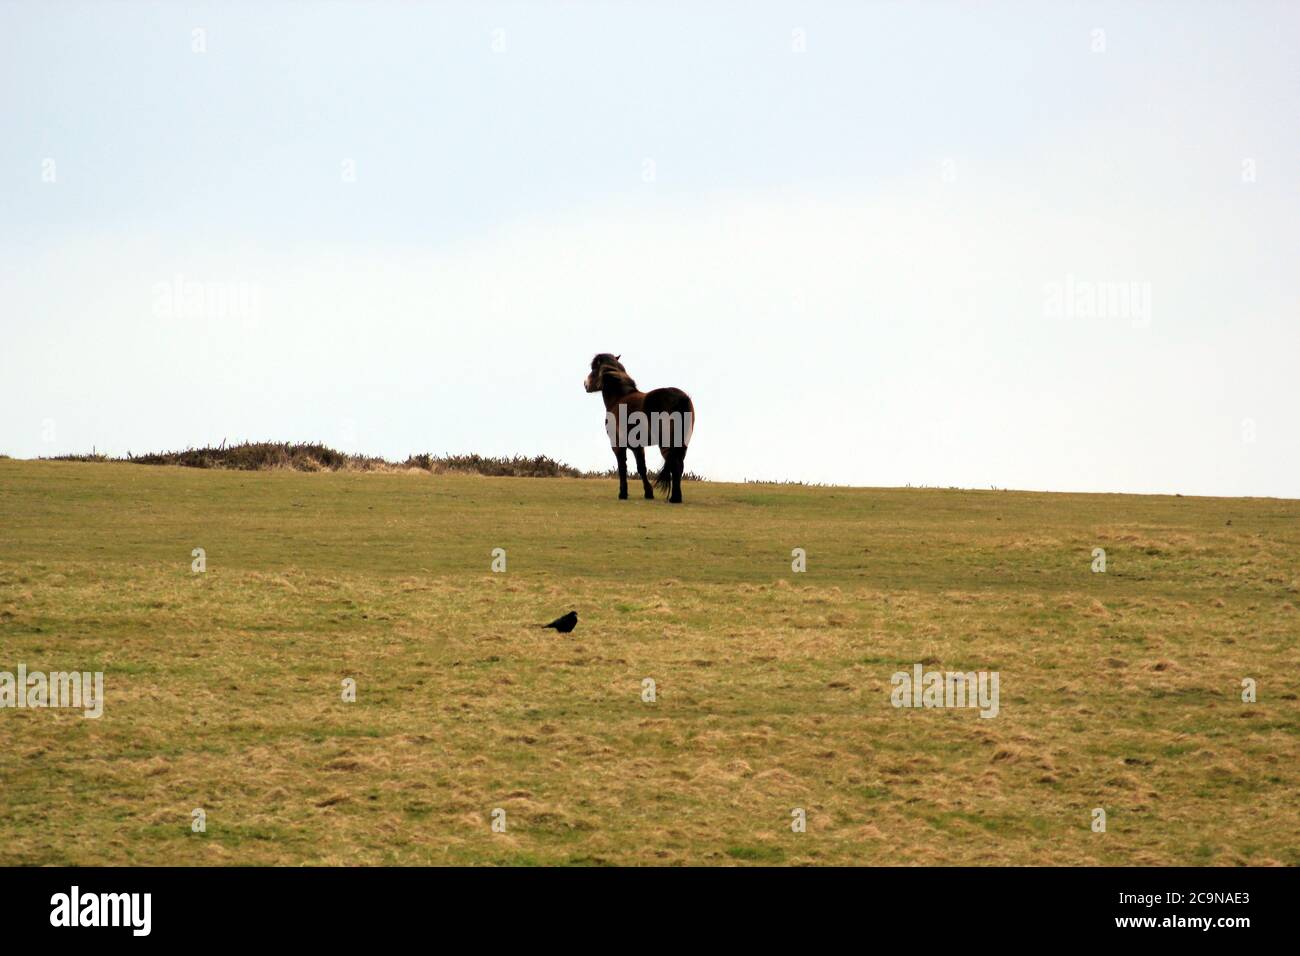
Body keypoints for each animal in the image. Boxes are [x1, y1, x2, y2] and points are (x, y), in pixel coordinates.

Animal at [584, 354, 694, 503]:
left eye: (594, 369)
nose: (585, 384)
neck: (619, 398)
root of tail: (681, 398)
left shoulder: (617, 445)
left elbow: (622, 468)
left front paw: (623, 494)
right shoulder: (637, 446)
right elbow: (641, 468)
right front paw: (648, 493)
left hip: (667, 444)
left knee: (675, 466)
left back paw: (674, 498)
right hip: (682, 444)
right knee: (680, 466)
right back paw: (676, 497)